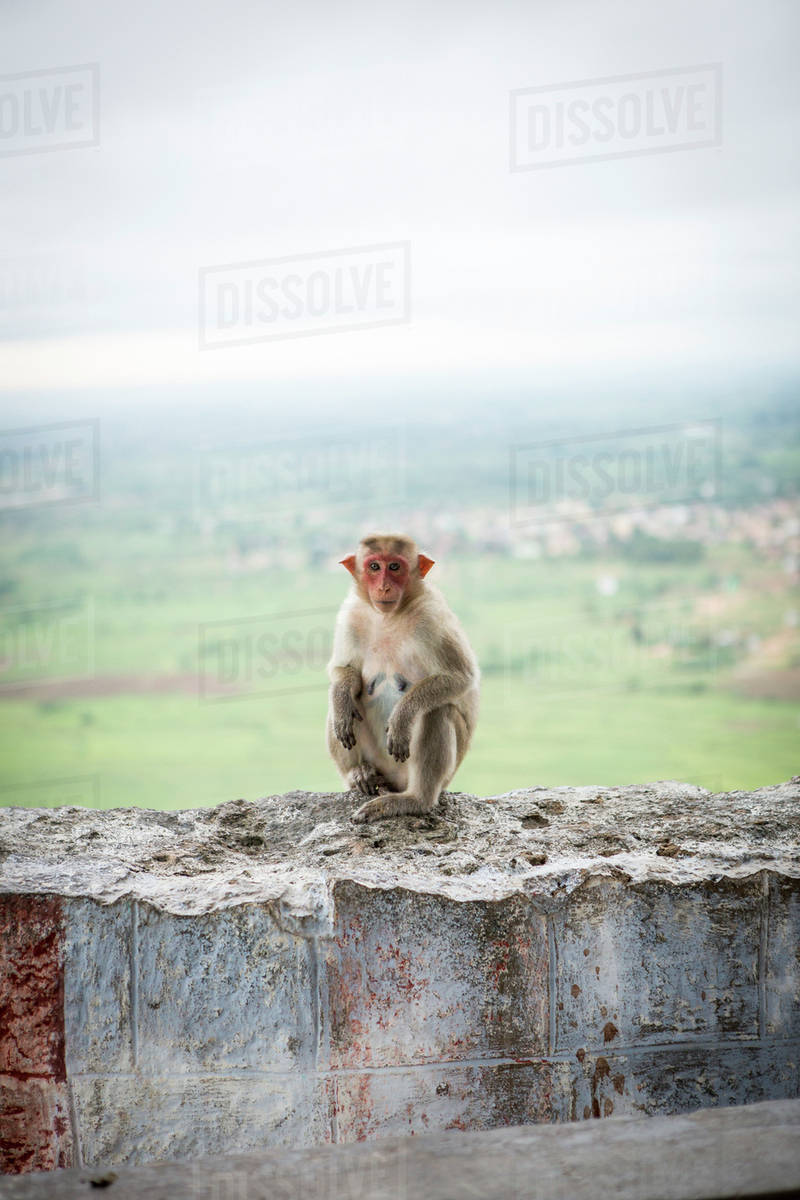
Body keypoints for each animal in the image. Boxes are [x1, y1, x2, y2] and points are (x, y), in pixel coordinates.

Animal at [326, 533, 479, 823]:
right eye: (375, 567)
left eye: (395, 567)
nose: (384, 587)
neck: (389, 615)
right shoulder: (351, 613)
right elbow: (341, 669)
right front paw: (342, 694)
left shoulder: (432, 617)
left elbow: (459, 677)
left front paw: (402, 717)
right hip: (379, 762)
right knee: (344, 706)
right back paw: (358, 773)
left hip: (432, 775)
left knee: (437, 711)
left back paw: (415, 800)